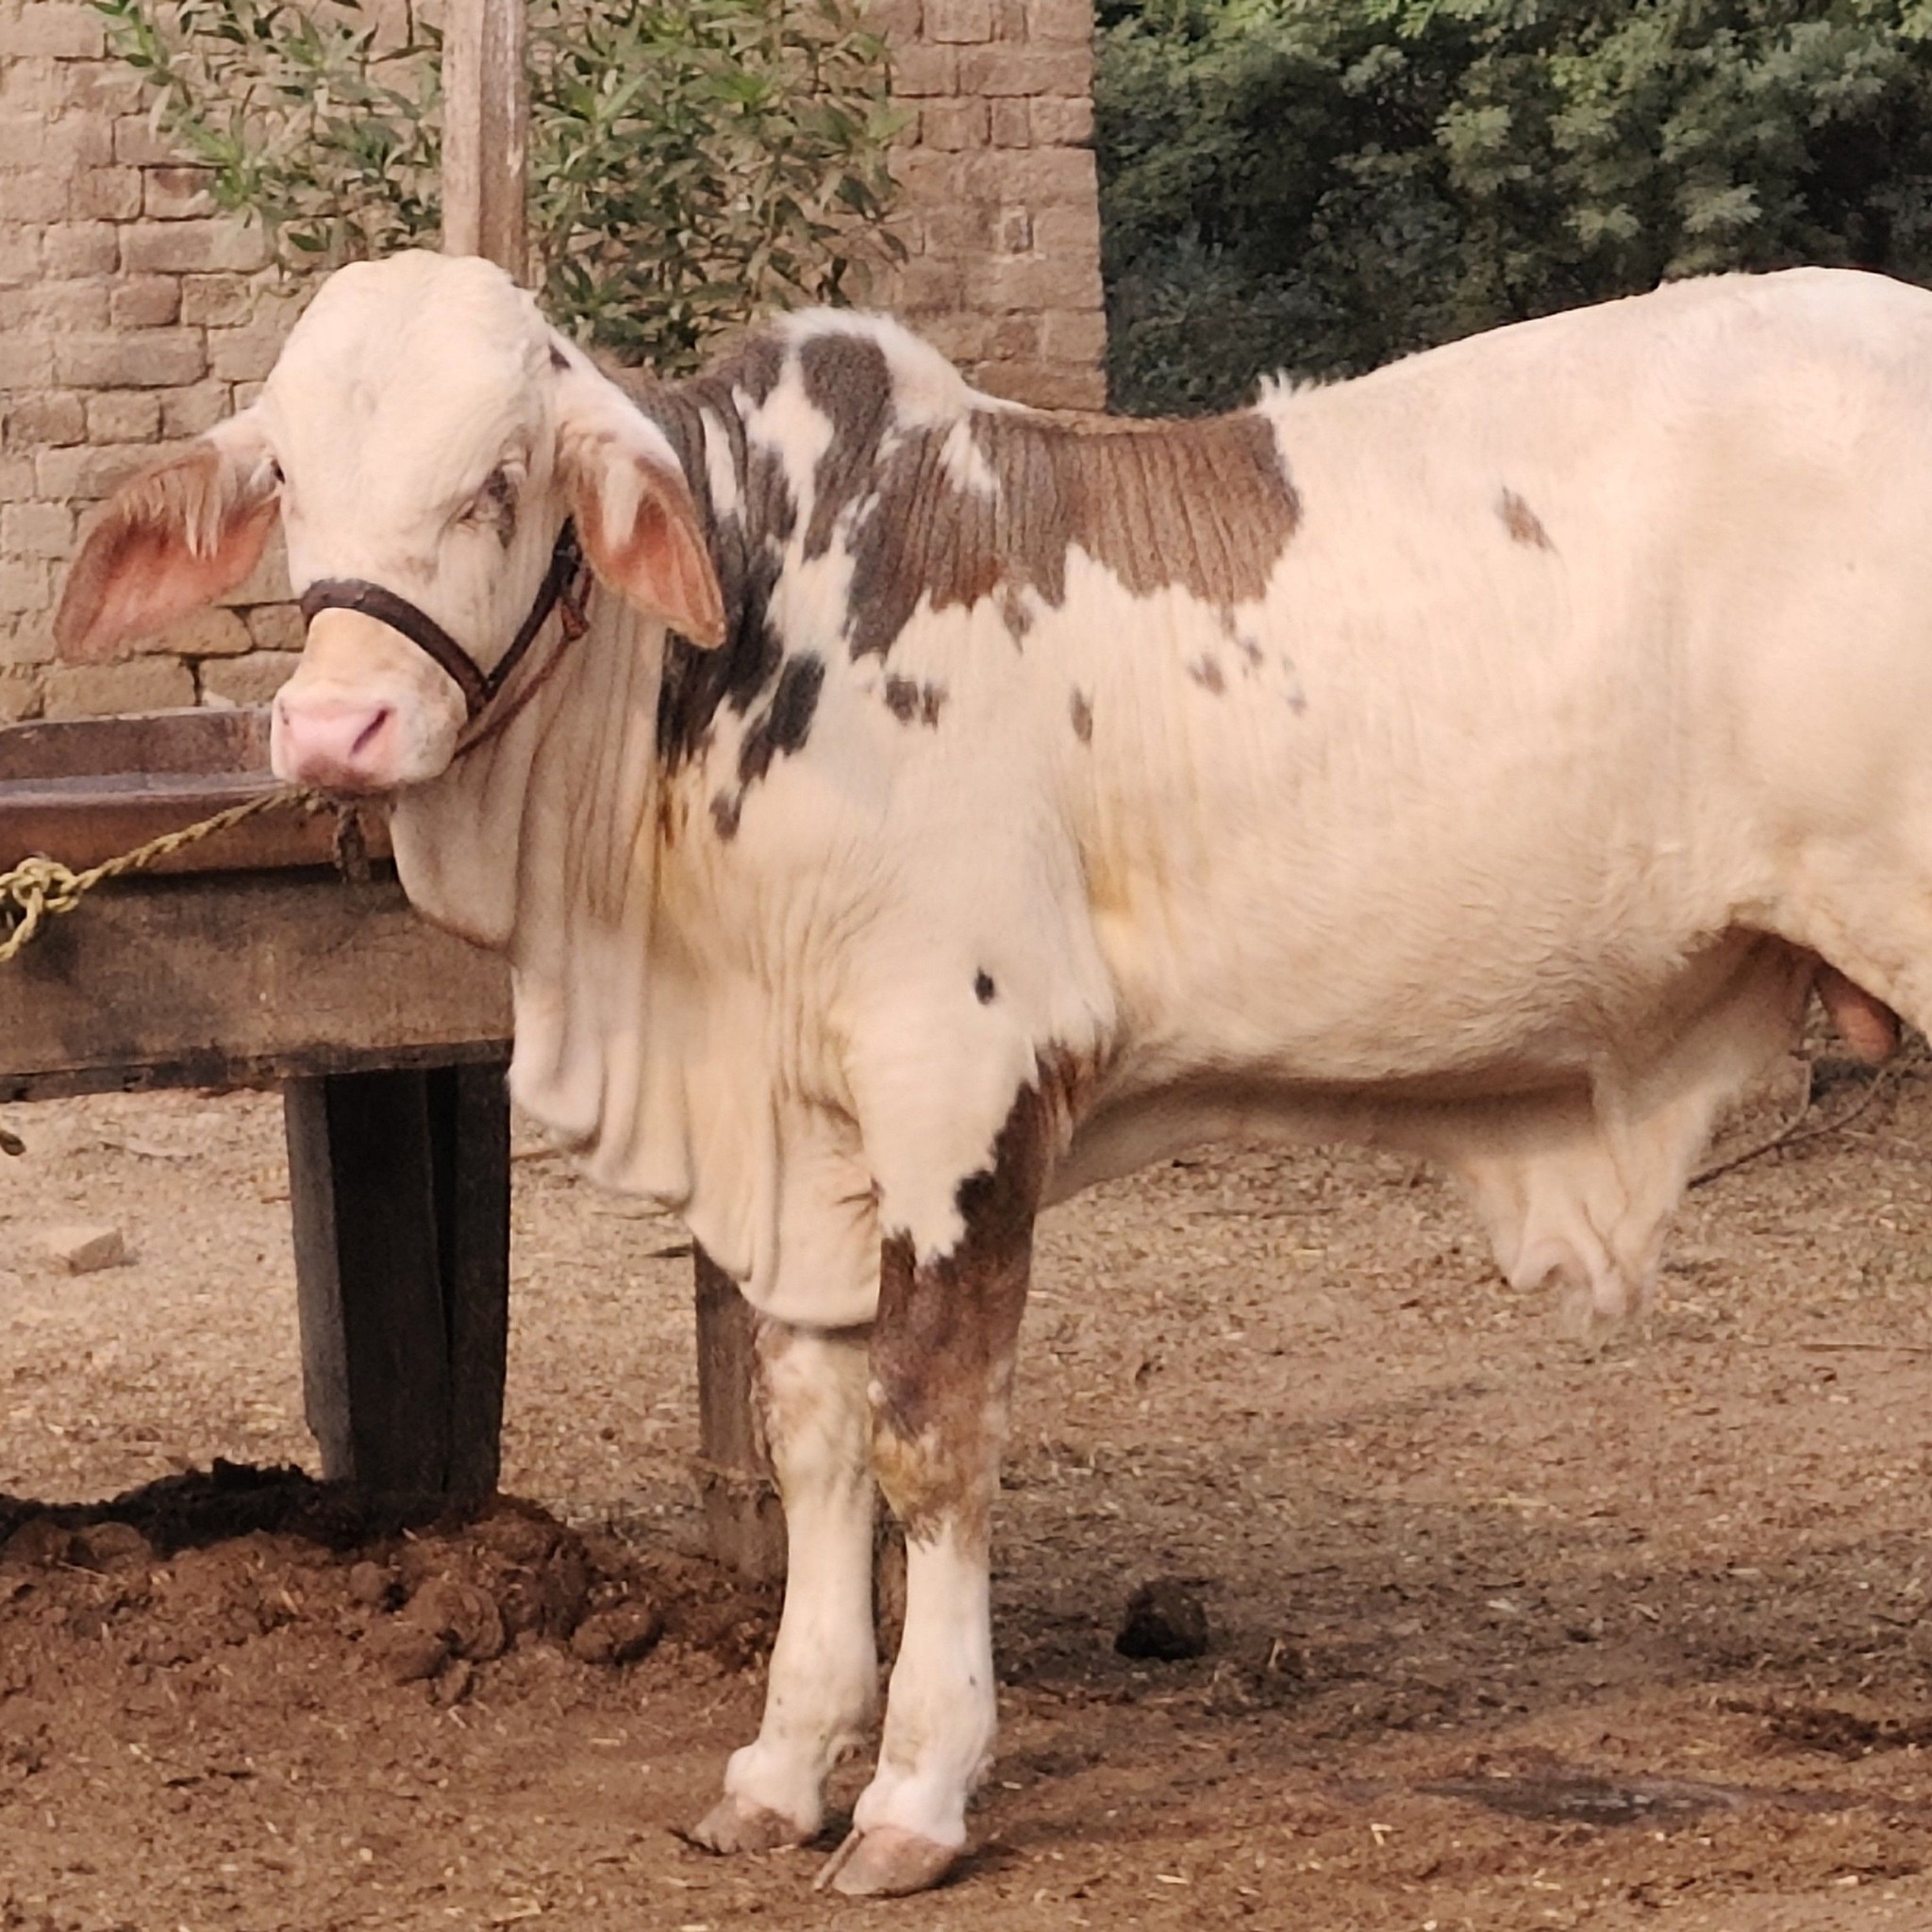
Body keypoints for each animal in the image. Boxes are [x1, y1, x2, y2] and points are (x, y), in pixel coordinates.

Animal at [53, 251, 1924, 1894]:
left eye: (502, 479)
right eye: (290, 474)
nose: (333, 732)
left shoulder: (956, 1075)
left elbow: (928, 1437)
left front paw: (913, 1795)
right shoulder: (803, 1131)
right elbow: (812, 1436)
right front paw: (781, 1765)